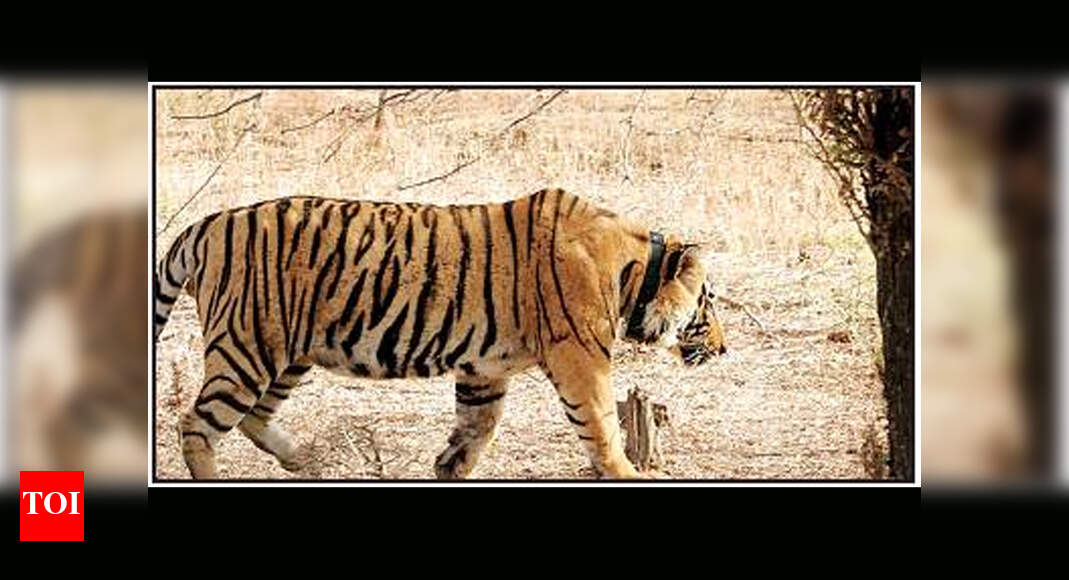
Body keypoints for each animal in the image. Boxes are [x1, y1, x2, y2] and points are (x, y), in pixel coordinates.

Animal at [154, 188, 726, 479]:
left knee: (254, 417)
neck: (635, 270)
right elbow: (602, 424)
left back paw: (305, 459)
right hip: (247, 348)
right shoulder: (580, 358)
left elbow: (476, 428)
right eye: (711, 300)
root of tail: (204, 224)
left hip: (286, 353)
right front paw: (628, 472)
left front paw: (448, 466)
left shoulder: (484, 369)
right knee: (197, 425)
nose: (722, 348)